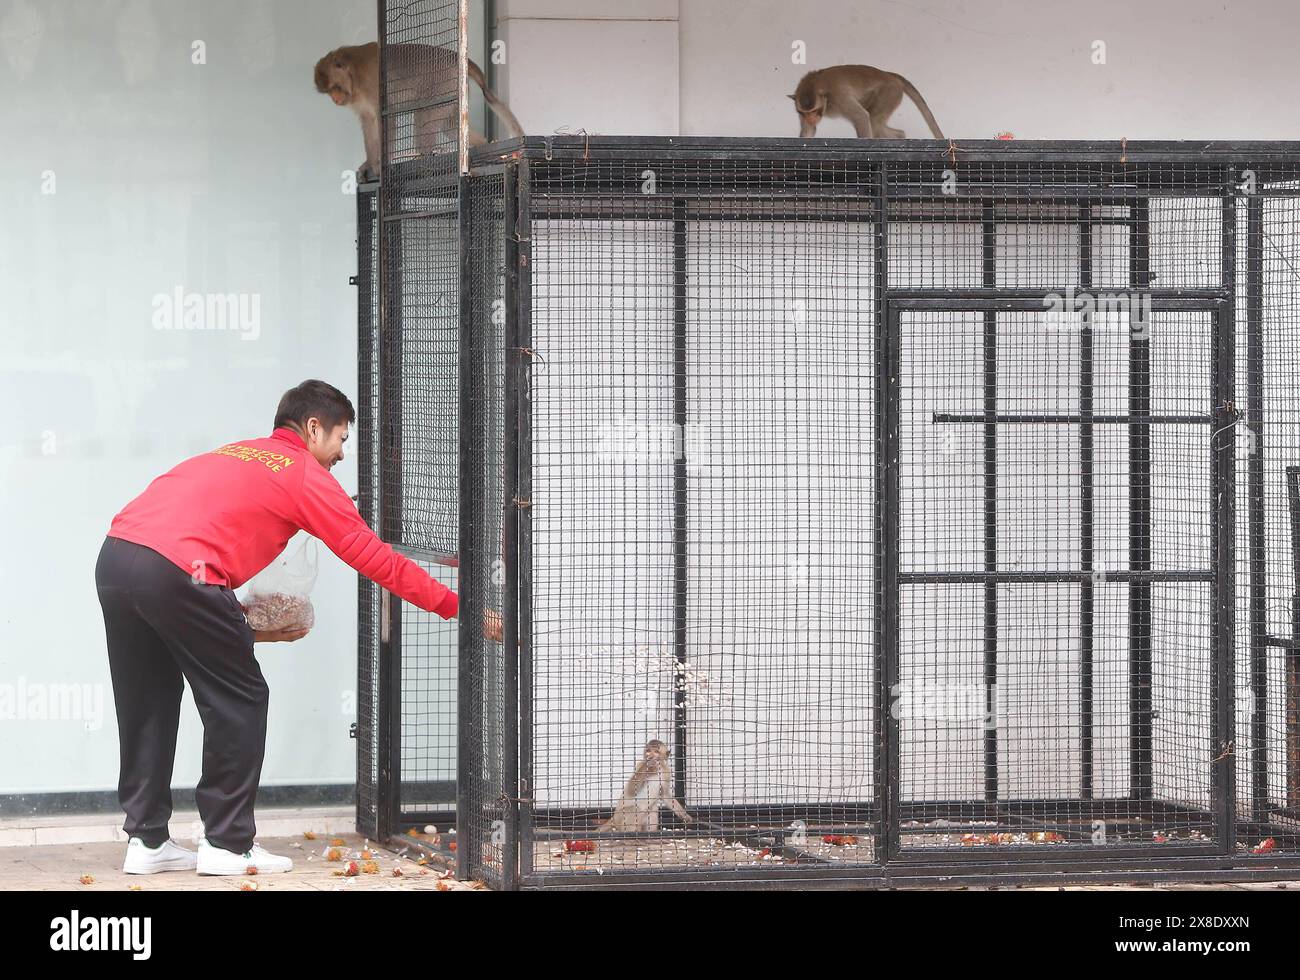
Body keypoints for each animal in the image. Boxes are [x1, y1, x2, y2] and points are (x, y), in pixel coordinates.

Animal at [314, 41, 524, 181]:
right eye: (329, 91)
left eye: (335, 87)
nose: (335, 99)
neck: (354, 73)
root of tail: (456, 56)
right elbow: (368, 121)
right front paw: (369, 162)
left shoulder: (372, 82)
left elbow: (386, 120)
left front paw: (379, 164)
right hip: (453, 89)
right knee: (449, 126)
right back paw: (481, 146)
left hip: (443, 84)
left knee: (425, 116)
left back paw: (426, 157)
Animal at [789, 65, 943, 140]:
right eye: (805, 113)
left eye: (814, 111)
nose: (810, 119)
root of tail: (888, 75)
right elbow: (809, 130)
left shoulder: (840, 97)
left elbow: (861, 117)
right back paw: (900, 136)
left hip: (890, 92)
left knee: (874, 120)